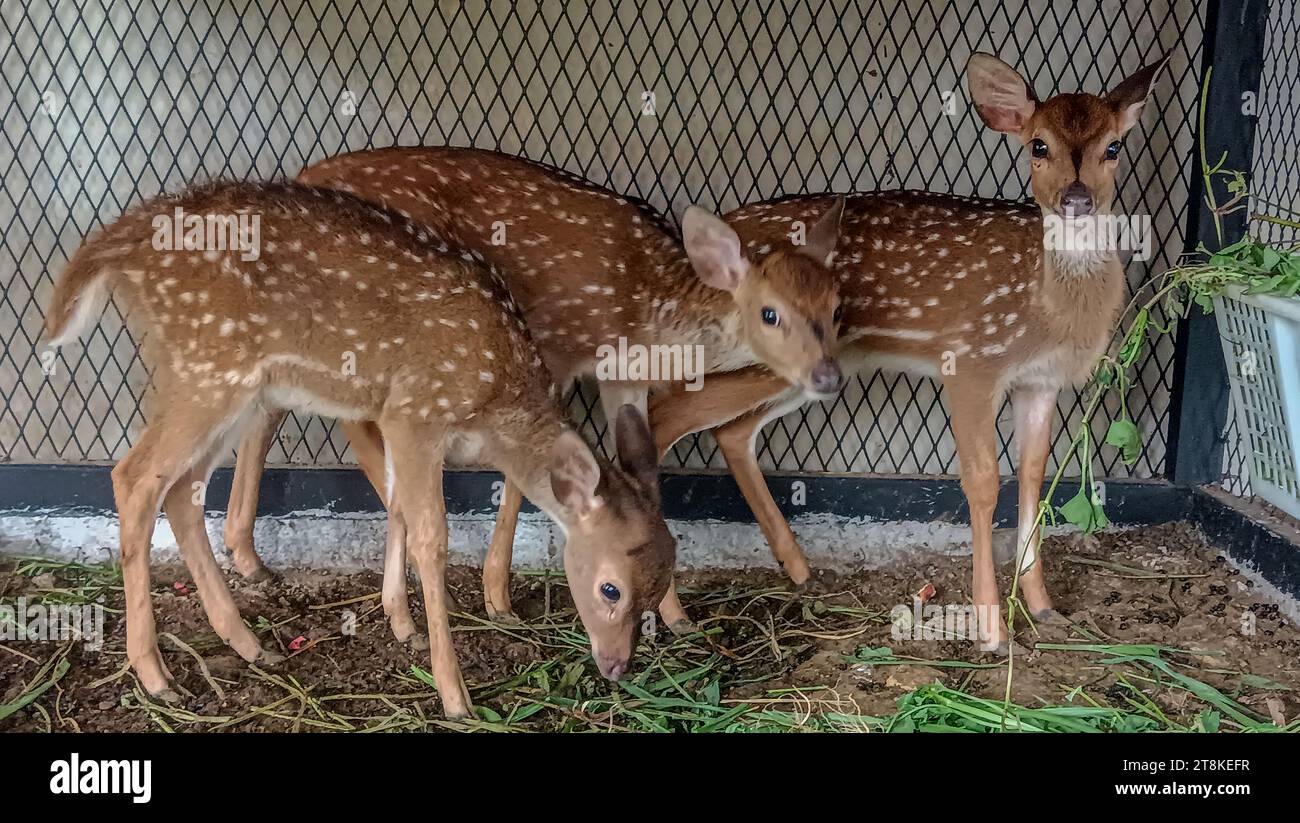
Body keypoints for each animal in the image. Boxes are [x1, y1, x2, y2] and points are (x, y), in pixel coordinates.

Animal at [43, 180, 677, 717]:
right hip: (206, 368)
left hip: (231, 387)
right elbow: (432, 536)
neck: (496, 400)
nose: (616, 666)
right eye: (610, 588)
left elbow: (394, 505)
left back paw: (249, 645)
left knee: (181, 490)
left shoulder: (399, 423)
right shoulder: (415, 411)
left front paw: (402, 625)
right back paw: (157, 676)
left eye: (663, 581)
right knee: (135, 477)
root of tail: (119, 243)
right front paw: (454, 694)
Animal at [217, 147, 845, 642]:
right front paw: (497, 596)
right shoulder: (557, 349)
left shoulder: (621, 374)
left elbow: (638, 462)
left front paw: (674, 613)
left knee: (268, 404)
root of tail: (302, 174)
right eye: (770, 313)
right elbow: (532, 471)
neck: (649, 308)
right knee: (347, 421)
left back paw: (249, 558)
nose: (829, 377)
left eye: (837, 305)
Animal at [647, 52, 1170, 651]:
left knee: (731, 432)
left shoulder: (1041, 380)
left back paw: (799, 572)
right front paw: (992, 628)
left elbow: (1034, 477)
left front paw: (1043, 607)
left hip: (809, 368)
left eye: (1114, 146)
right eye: (1038, 145)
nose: (1076, 199)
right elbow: (982, 482)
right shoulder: (971, 361)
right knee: (661, 419)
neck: (1047, 306)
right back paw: (673, 613)